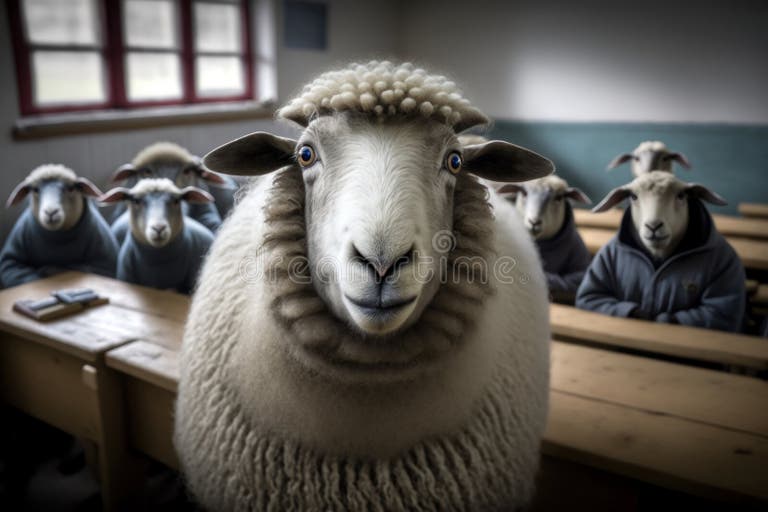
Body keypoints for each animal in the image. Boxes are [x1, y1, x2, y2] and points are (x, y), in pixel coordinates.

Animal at [576, 170, 745, 332]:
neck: (658, 254)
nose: (653, 226)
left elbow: (714, 310)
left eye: (681, 195)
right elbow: (594, 296)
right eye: (633, 196)